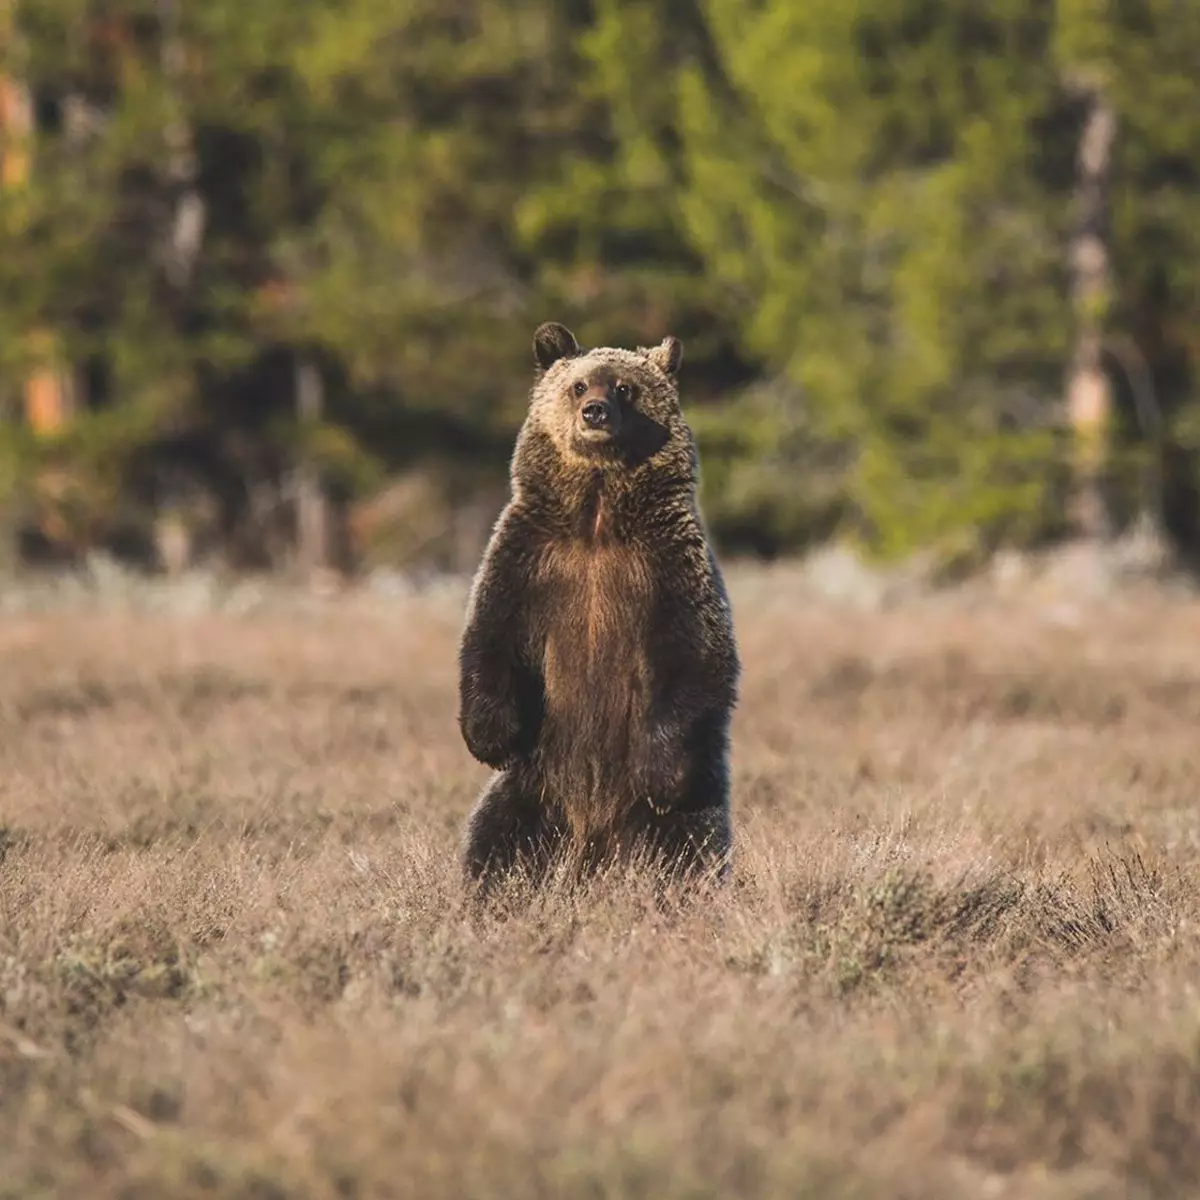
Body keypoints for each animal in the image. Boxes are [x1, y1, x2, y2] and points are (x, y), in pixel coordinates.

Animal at [456, 324, 739, 888]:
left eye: (625, 387)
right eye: (579, 385)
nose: (596, 413)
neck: (597, 515)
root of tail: (593, 837)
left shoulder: (667, 565)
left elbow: (696, 654)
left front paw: (660, 772)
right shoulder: (532, 559)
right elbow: (492, 634)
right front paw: (488, 737)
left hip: (686, 801)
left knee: (689, 847)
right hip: (535, 786)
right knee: (496, 842)